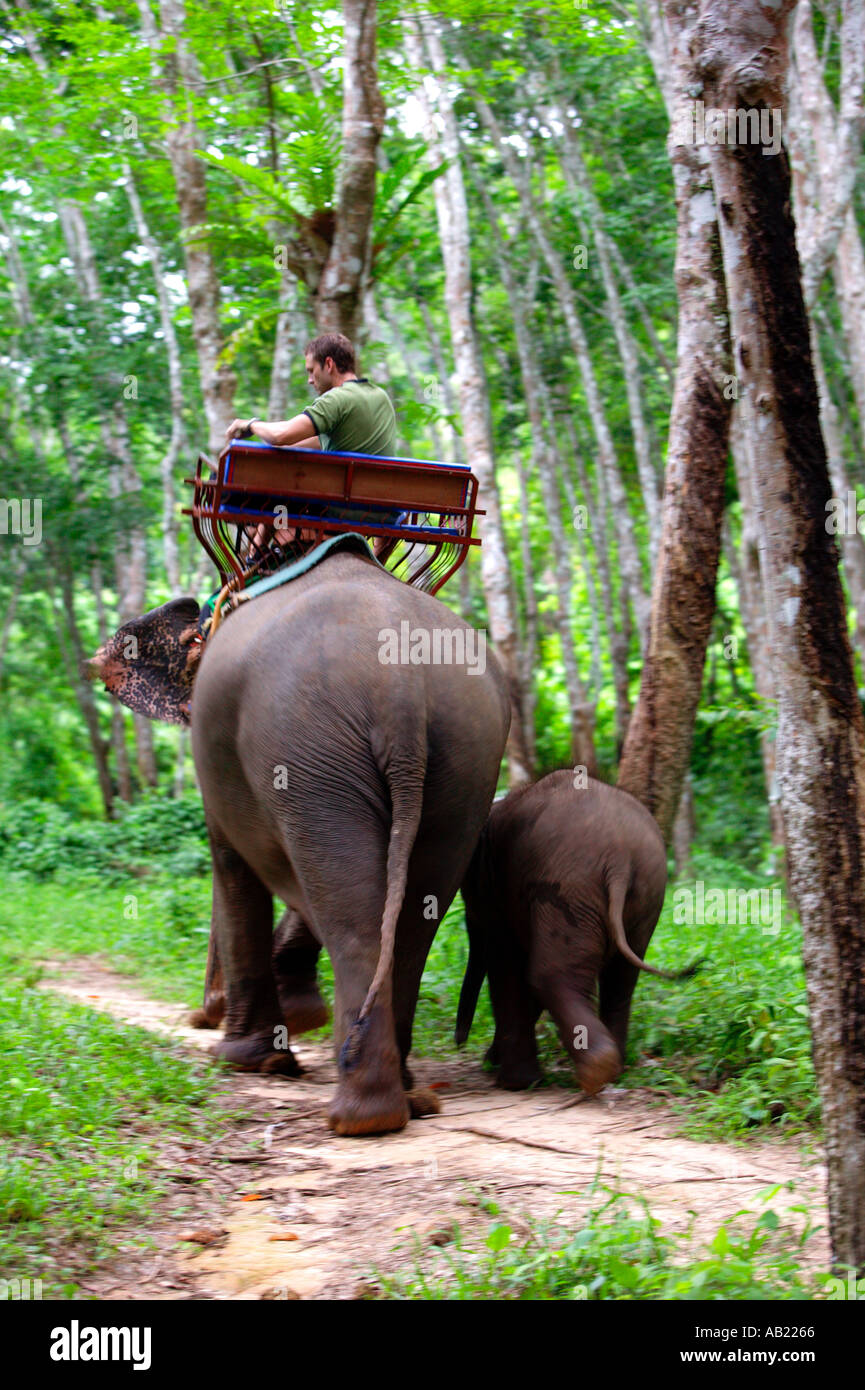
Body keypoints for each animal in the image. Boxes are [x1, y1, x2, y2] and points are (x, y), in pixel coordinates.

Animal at [88, 544, 510, 1135]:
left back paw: (363, 1117)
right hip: (466, 754)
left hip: (309, 749)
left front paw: (245, 1055)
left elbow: (234, 866)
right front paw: (297, 1016)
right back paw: (409, 1099)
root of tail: (400, 685)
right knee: (408, 912)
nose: (201, 1014)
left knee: (353, 914)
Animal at [456, 771, 698, 1095]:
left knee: (548, 974)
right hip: (646, 893)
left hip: (568, 889)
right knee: (620, 979)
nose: (460, 1044)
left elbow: (507, 966)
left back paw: (597, 1069)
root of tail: (619, 859)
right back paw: (615, 1068)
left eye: (467, 893)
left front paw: (514, 1082)